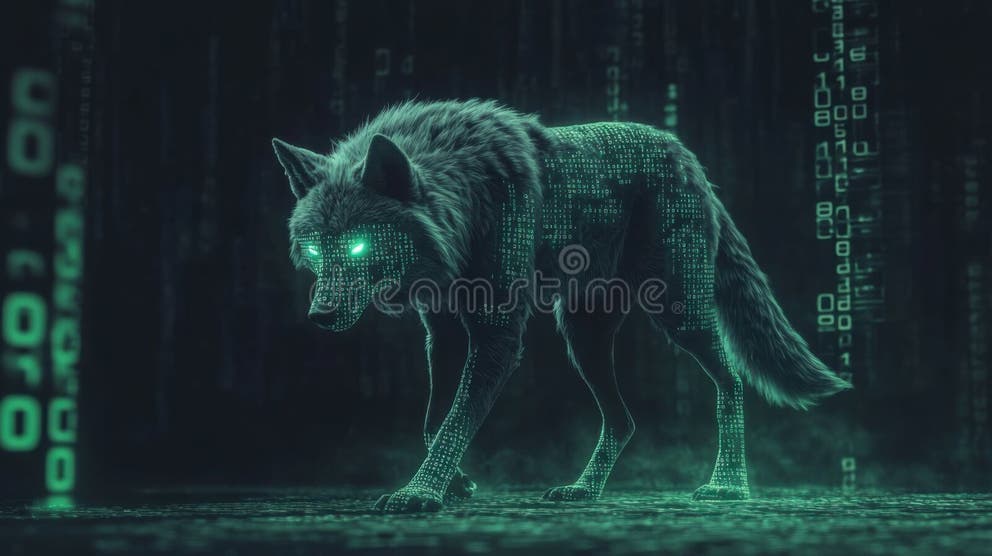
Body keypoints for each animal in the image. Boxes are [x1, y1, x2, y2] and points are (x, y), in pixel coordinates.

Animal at [273, 99, 851, 513]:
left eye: (357, 247)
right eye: (318, 250)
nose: (320, 317)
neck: (468, 197)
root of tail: (685, 153)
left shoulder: (497, 333)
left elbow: (456, 420)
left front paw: (420, 493)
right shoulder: (444, 332)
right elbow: (435, 419)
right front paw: (454, 484)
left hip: (678, 311)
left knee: (729, 380)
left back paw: (728, 485)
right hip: (583, 337)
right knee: (623, 420)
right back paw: (583, 491)